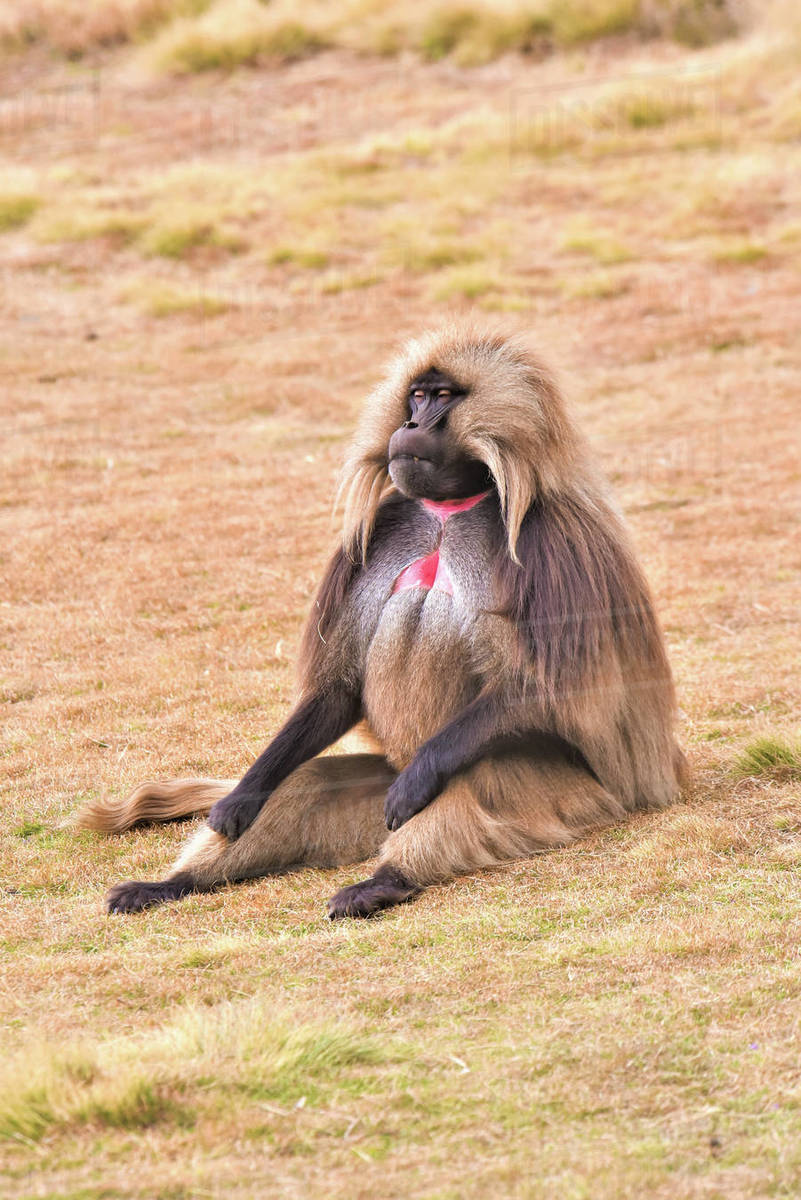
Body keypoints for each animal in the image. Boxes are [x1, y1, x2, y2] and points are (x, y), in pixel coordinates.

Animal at [76, 323, 686, 919]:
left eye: (444, 397)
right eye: (416, 395)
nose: (411, 423)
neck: (450, 510)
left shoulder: (553, 541)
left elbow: (542, 688)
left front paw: (420, 786)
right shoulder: (384, 528)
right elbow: (336, 689)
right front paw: (240, 798)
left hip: (569, 793)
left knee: (471, 775)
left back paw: (385, 880)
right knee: (302, 783)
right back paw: (170, 883)